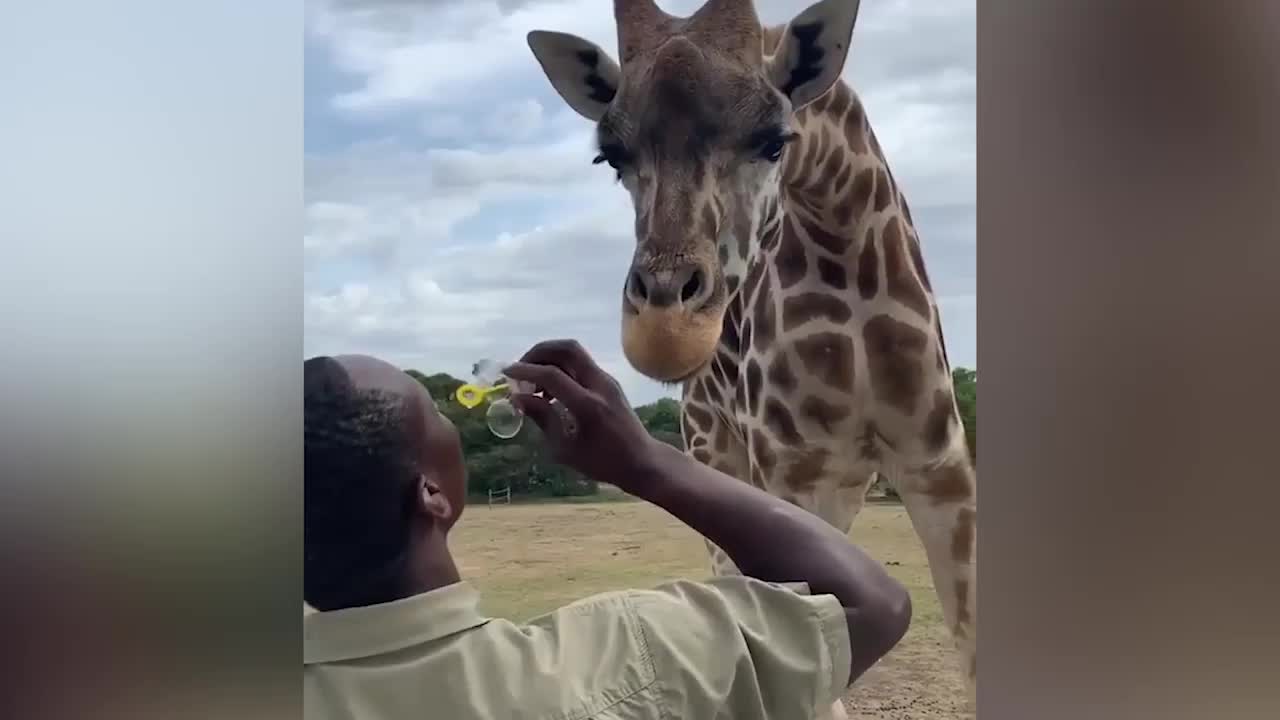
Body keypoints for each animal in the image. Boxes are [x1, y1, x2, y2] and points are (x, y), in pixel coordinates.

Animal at [528, 0, 976, 712]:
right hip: (720, 456)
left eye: (774, 140)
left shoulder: (940, 465)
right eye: (611, 156)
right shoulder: (790, 472)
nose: (665, 329)